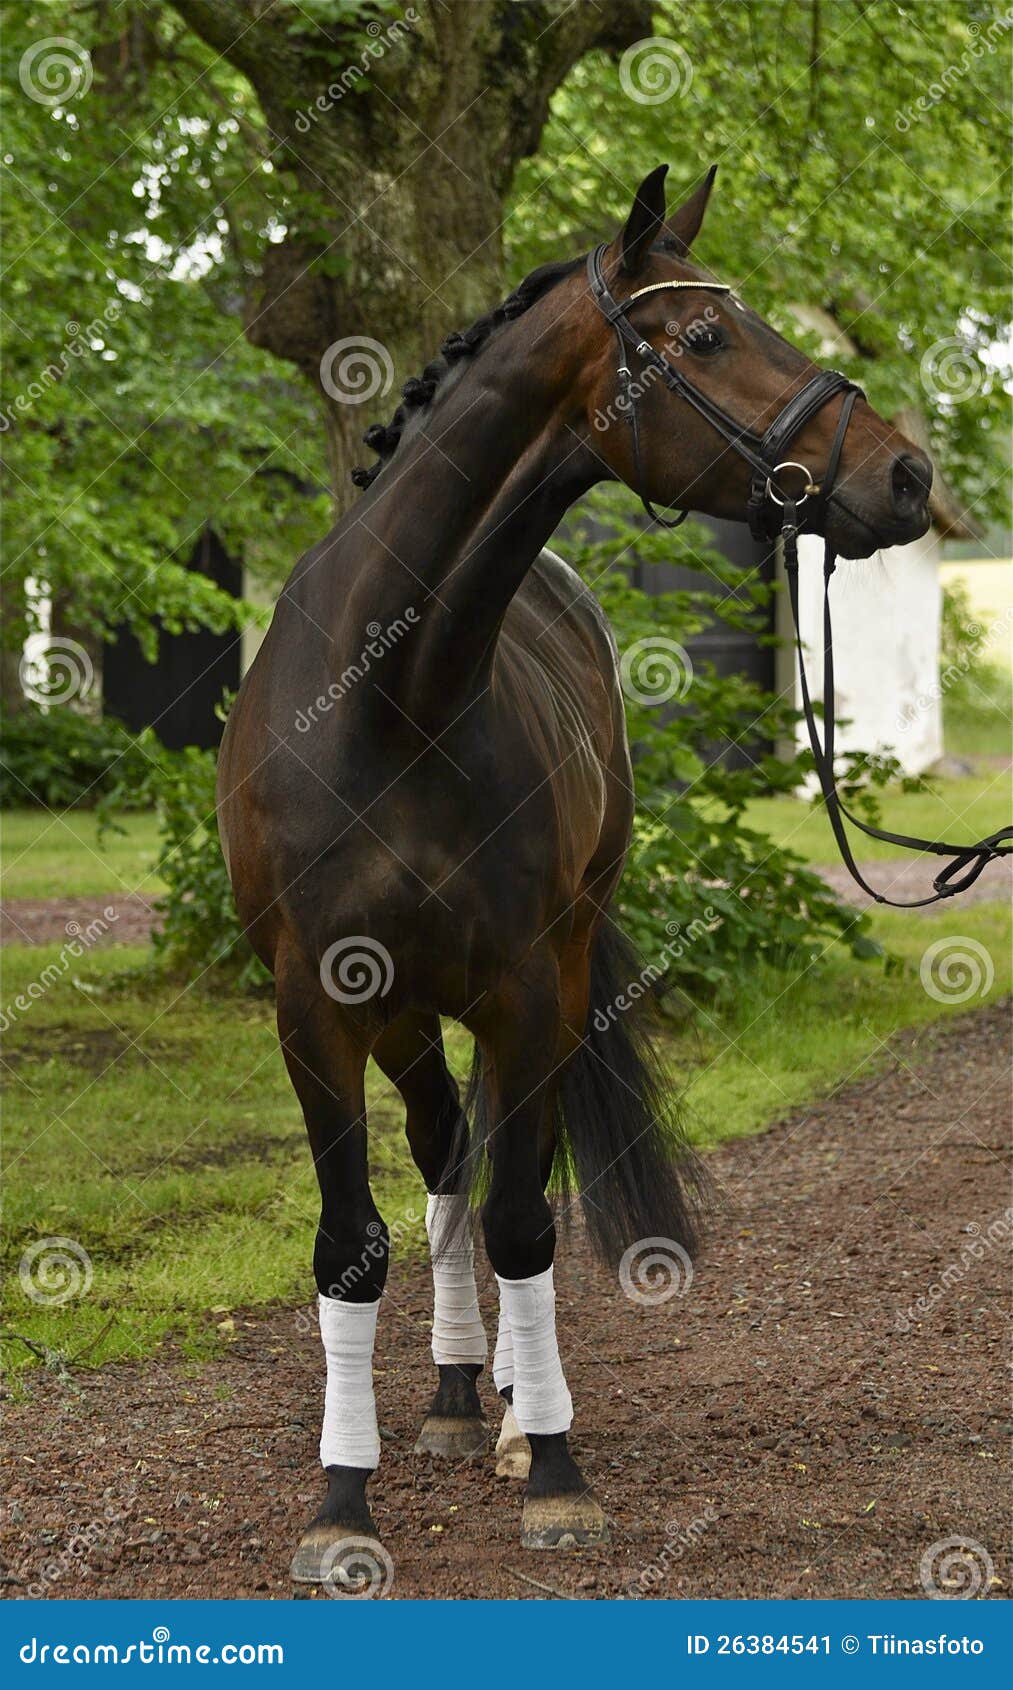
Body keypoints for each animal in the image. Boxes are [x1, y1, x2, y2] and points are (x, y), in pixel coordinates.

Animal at [217, 162, 931, 1584]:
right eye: (703, 334)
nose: (904, 470)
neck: (394, 694)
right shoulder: (316, 1003)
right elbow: (351, 1244)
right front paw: (341, 1500)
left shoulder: (522, 991)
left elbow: (524, 1221)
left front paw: (550, 1466)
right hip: (405, 1010)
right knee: (446, 1146)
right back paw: (450, 1391)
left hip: (539, 970)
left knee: (500, 1165)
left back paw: (502, 1405)